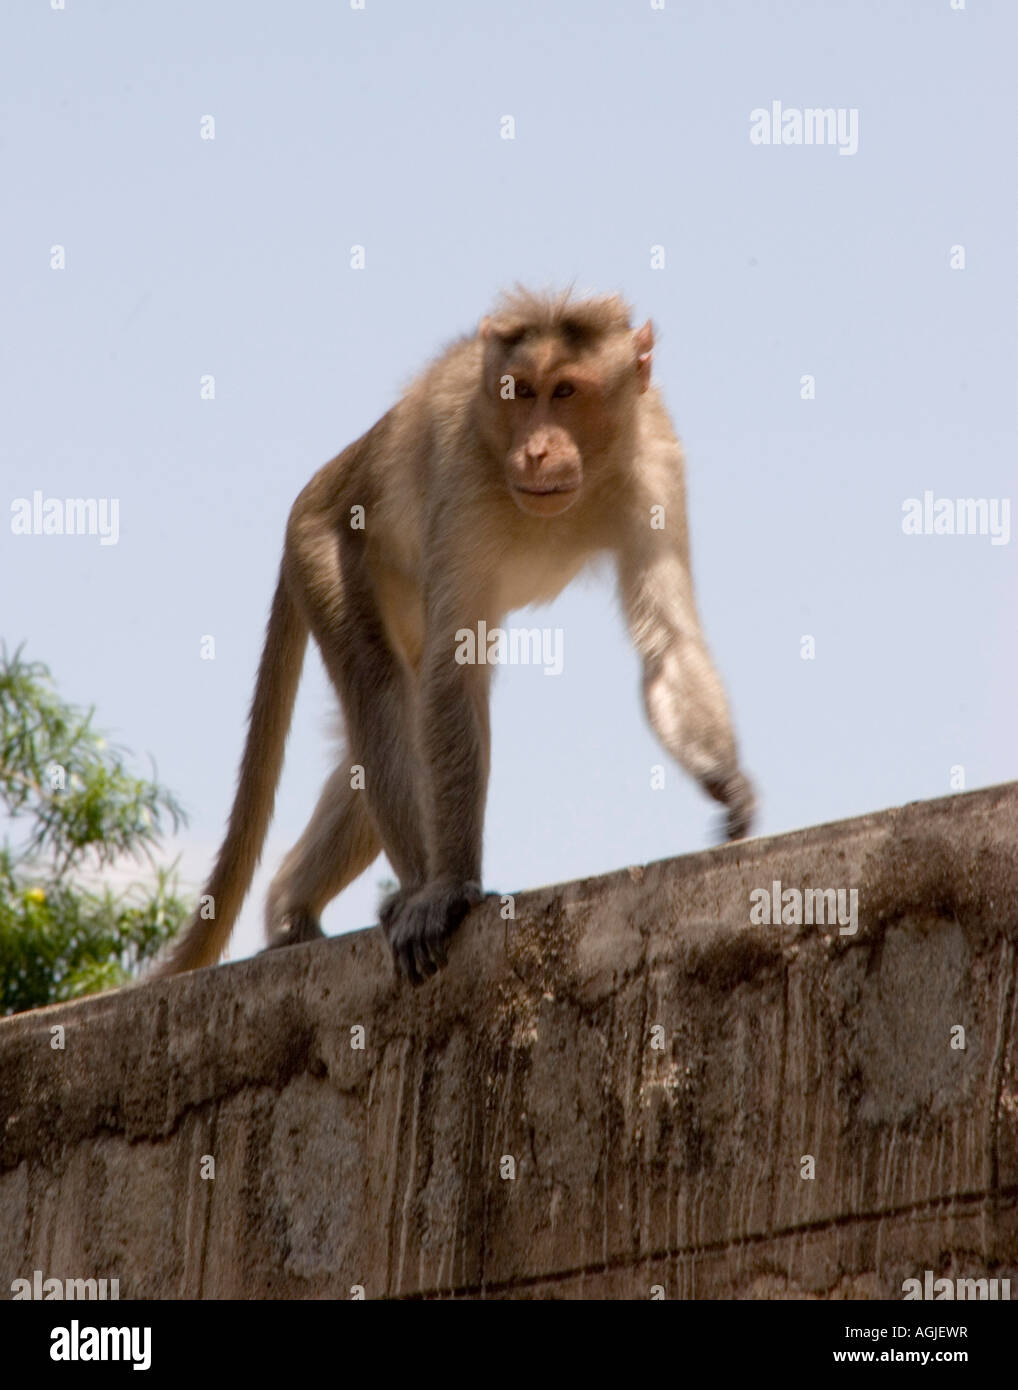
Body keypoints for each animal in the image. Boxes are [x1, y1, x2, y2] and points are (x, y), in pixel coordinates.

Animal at [153, 287, 755, 985]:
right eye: (520, 391)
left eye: (566, 391)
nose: (537, 451)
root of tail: (320, 484)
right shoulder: (461, 465)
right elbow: (451, 674)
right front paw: (446, 891)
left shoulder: (655, 462)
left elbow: (668, 638)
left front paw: (727, 782)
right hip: (323, 547)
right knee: (386, 692)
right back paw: (417, 891)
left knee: (379, 741)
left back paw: (288, 908)